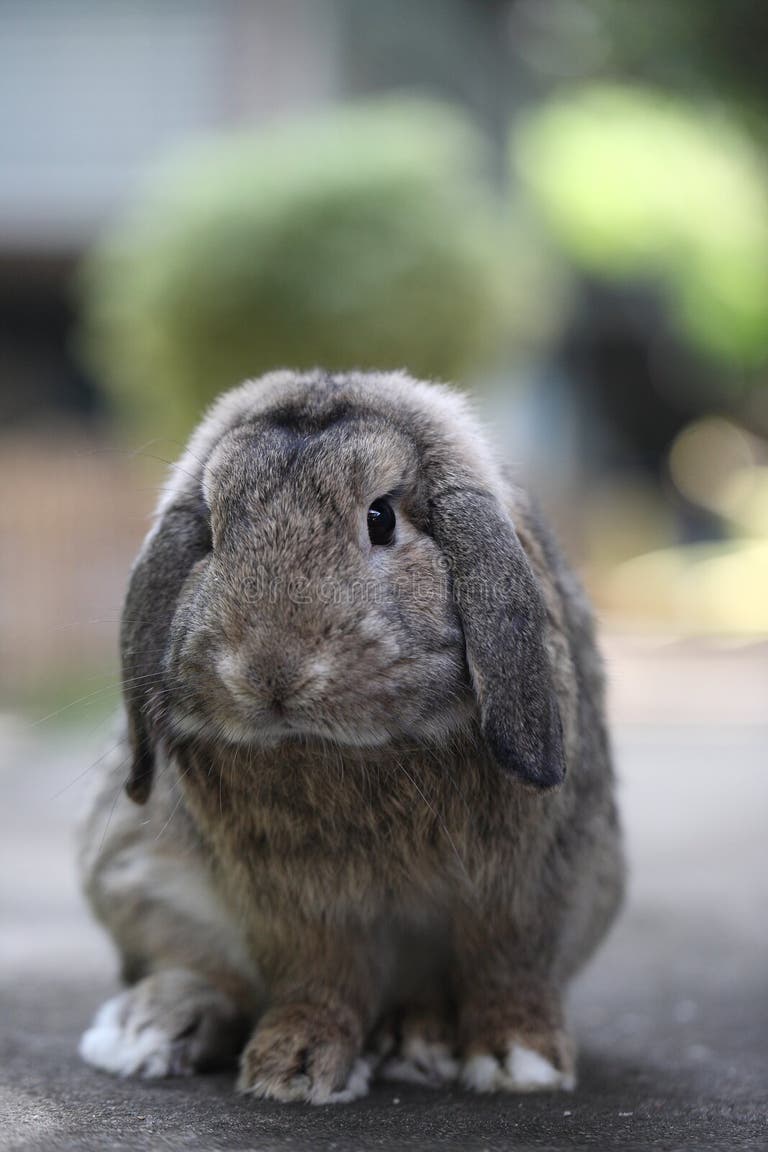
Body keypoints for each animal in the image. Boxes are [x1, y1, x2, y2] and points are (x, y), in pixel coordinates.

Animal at [78, 369, 624, 1103]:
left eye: (381, 518)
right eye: (213, 532)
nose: (270, 671)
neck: (351, 752)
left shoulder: (529, 890)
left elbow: (507, 968)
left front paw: (521, 1061)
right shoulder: (297, 910)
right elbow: (320, 979)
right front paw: (292, 1068)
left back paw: (415, 1041)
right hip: (133, 876)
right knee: (201, 970)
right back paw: (151, 1028)